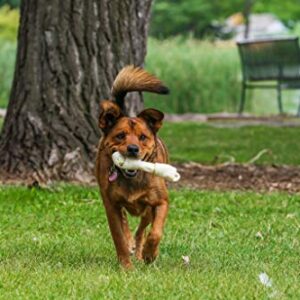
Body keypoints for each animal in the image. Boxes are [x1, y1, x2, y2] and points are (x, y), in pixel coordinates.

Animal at [96, 65, 170, 268]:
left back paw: (140, 252)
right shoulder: (111, 206)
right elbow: (119, 237)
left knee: (141, 230)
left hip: (147, 210)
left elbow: (155, 232)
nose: (133, 149)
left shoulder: (161, 202)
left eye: (143, 137)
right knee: (127, 226)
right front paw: (126, 267)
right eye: (120, 135)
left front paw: (149, 254)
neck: (132, 178)